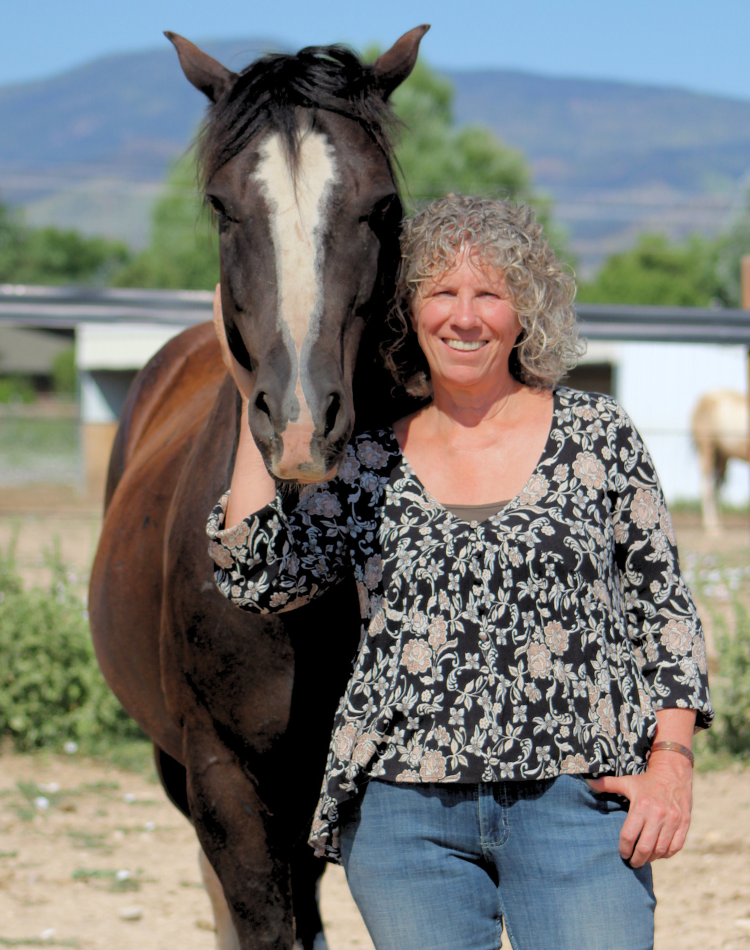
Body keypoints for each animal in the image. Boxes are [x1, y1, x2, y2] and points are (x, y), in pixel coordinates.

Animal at [691, 389, 749, 532]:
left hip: (721, 456)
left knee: (716, 487)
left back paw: (718, 523)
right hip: (706, 448)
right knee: (706, 487)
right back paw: (711, 526)